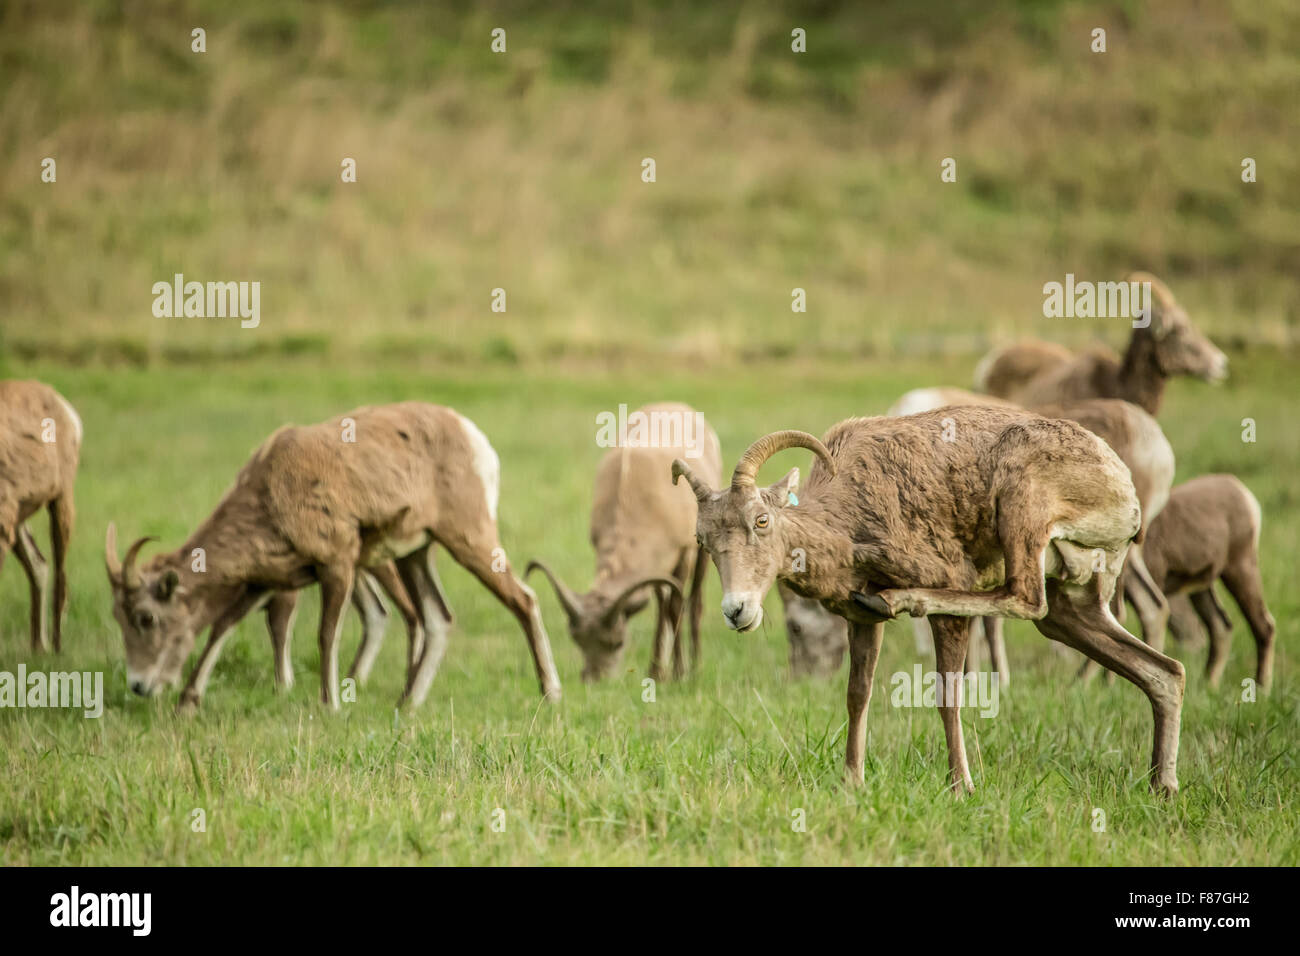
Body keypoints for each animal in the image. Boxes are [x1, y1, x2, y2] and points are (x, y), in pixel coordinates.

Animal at [0, 379, 80, 653]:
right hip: (19, 521)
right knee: (39, 565)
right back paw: (38, 648)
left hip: (60, 500)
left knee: (59, 577)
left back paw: (56, 650)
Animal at [105, 402, 560, 711]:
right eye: (119, 619)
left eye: (146, 618)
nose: (138, 686)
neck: (272, 492)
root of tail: (473, 437)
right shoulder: (267, 580)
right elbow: (222, 626)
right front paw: (187, 703)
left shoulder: (337, 566)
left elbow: (326, 635)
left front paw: (330, 704)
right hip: (415, 555)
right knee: (438, 619)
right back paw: (406, 703)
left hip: (468, 540)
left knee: (523, 600)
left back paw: (550, 694)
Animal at [528, 402, 722, 682]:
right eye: (577, 639)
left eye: (617, 642)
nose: (593, 680)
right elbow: (663, 604)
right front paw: (657, 674)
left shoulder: (682, 549)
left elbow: (677, 606)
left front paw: (680, 673)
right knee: (661, 603)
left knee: (694, 599)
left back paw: (695, 666)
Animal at [672, 406, 1185, 795]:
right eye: (703, 540)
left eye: (761, 520)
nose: (737, 611)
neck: (851, 516)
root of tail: (1125, 487)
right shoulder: (860, 623)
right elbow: (857, 694)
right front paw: (852, 782)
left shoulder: (947, 598)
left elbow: (948, 697)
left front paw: (961, 787)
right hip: (1074, 609)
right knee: (1164, 672)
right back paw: (1163, 786)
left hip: (1025, 514)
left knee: (1023, 598)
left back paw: (903, 600)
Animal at [1141, 475, 1275, 691]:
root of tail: (1241, 491)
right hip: (1201, 588)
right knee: (1220, 626)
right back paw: (1208, 684)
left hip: (1239, 569)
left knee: (1263, 625)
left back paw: (1262, 688)